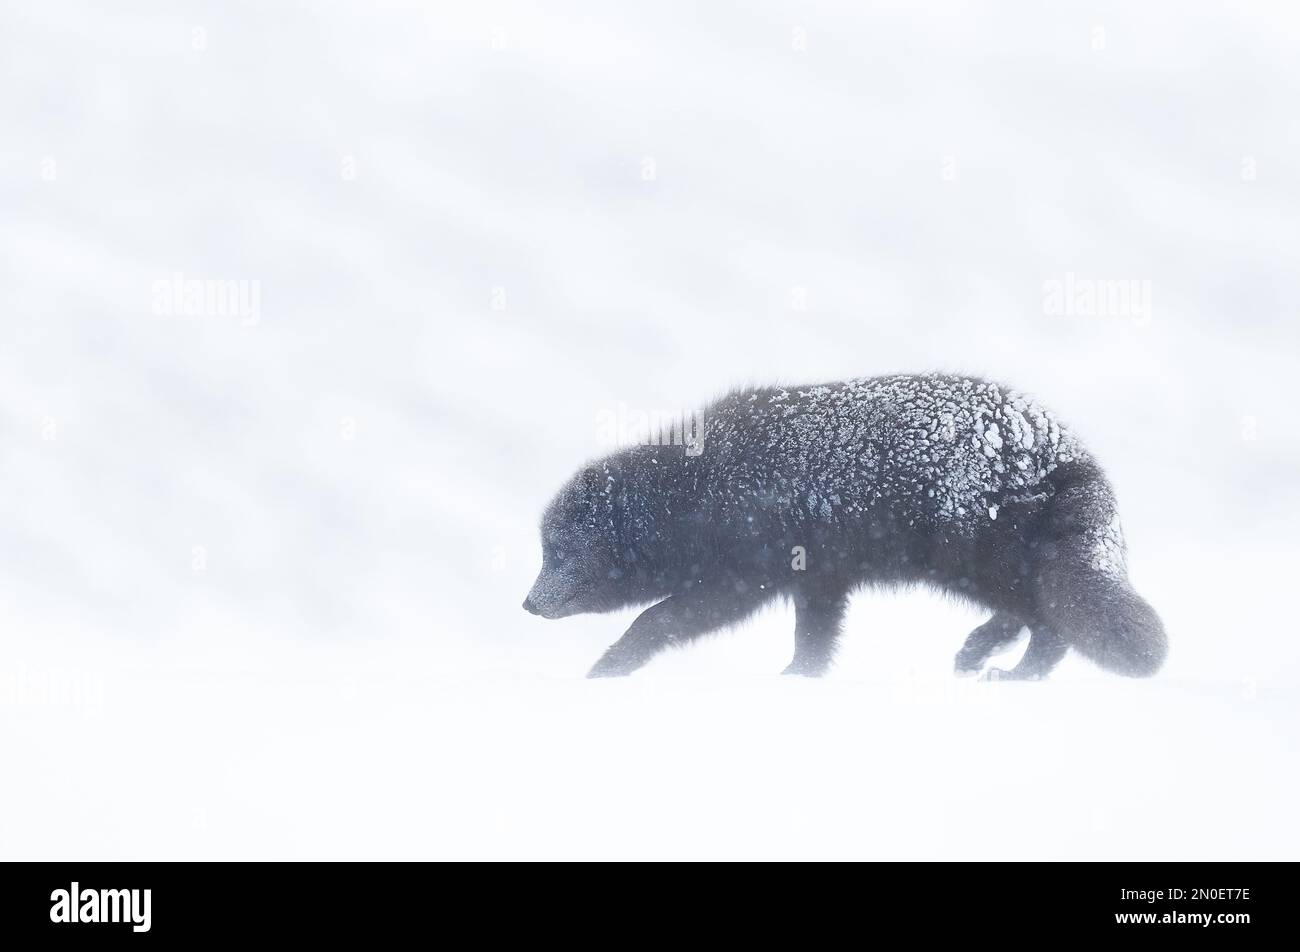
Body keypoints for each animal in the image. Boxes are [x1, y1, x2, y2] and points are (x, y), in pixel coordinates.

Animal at [522, 373, 1167, 681]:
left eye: (558, 551)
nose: (527, 603)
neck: (697, 492)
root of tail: (1060, 449)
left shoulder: (742, 581)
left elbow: (653, 621)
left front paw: (607, 670)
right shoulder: (821, 581)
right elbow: (815, 641)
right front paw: (796, 680)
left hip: (980, 563)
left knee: (1049, 626)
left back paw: (1016, 675)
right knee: (1020, 618)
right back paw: (975, 655)